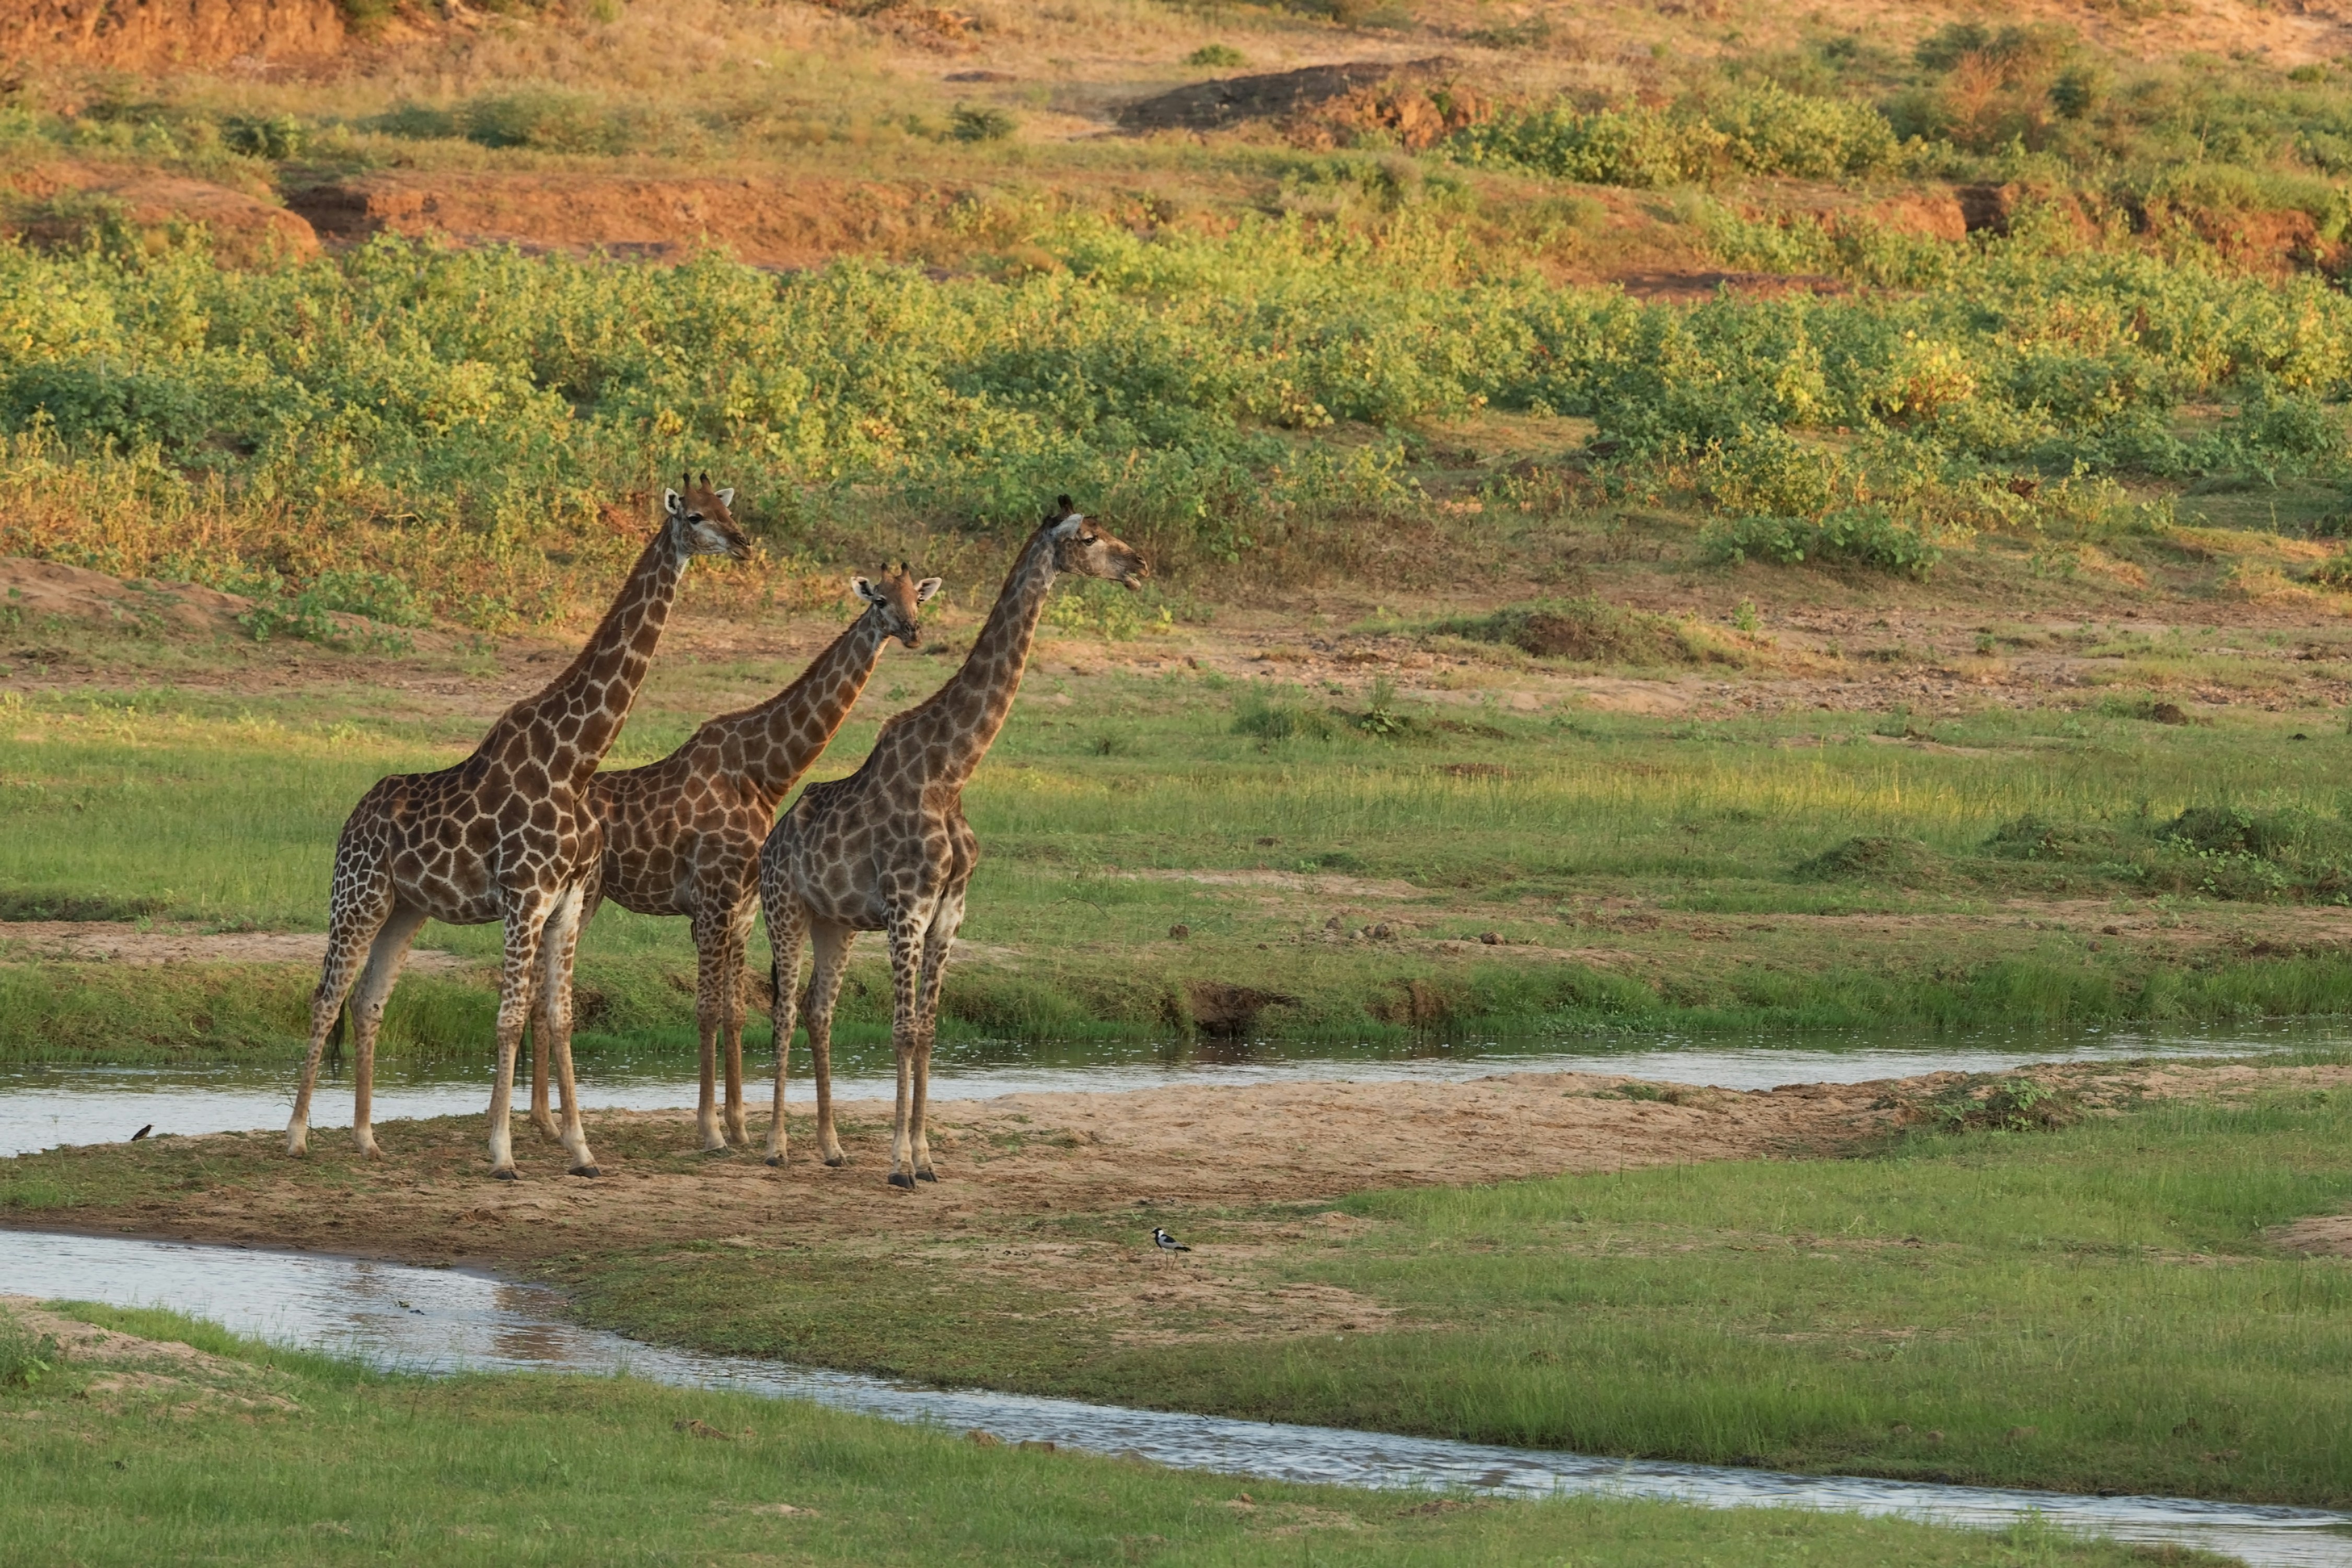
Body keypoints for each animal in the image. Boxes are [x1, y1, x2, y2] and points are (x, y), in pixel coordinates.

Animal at [286, 475, 748, 1180]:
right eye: (696, 517)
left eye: (729, 509)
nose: (744, 543)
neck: (576, 760)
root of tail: (352, 817)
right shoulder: (525, 896)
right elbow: (507, 1019)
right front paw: (502, 1152)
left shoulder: (568, 900)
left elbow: (558, 1017)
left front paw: (581, 1150)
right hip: (356, 896)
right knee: (325, 996)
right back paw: (295, 1137)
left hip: (405, 907)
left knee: (368, 1001)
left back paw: (366, 1139)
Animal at [546, 564, 940, 1155]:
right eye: (879, 600)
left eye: (918, 597)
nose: (913, 632)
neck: (764, 771)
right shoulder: (712, 898)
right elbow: (708, 1008)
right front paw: (711, 1130)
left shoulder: (743, 903)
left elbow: (735, 1010)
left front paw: (740, 1125)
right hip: (582, 895)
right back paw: (549, 1125)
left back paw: (543, 1123)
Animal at [758, 497, 1147, 1184]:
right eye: (1090, 538)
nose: (1141, 565)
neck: (952, 772)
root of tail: (768, 845)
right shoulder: (907, 909)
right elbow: (903, 1030)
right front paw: (899, 1164)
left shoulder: (949, 912)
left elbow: (929, 1030)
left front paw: (926, 1157)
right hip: (786, 912)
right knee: (781, 1010)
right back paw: (776, 1146)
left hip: (834, 924)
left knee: (817, 1008)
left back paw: (831, 1147)